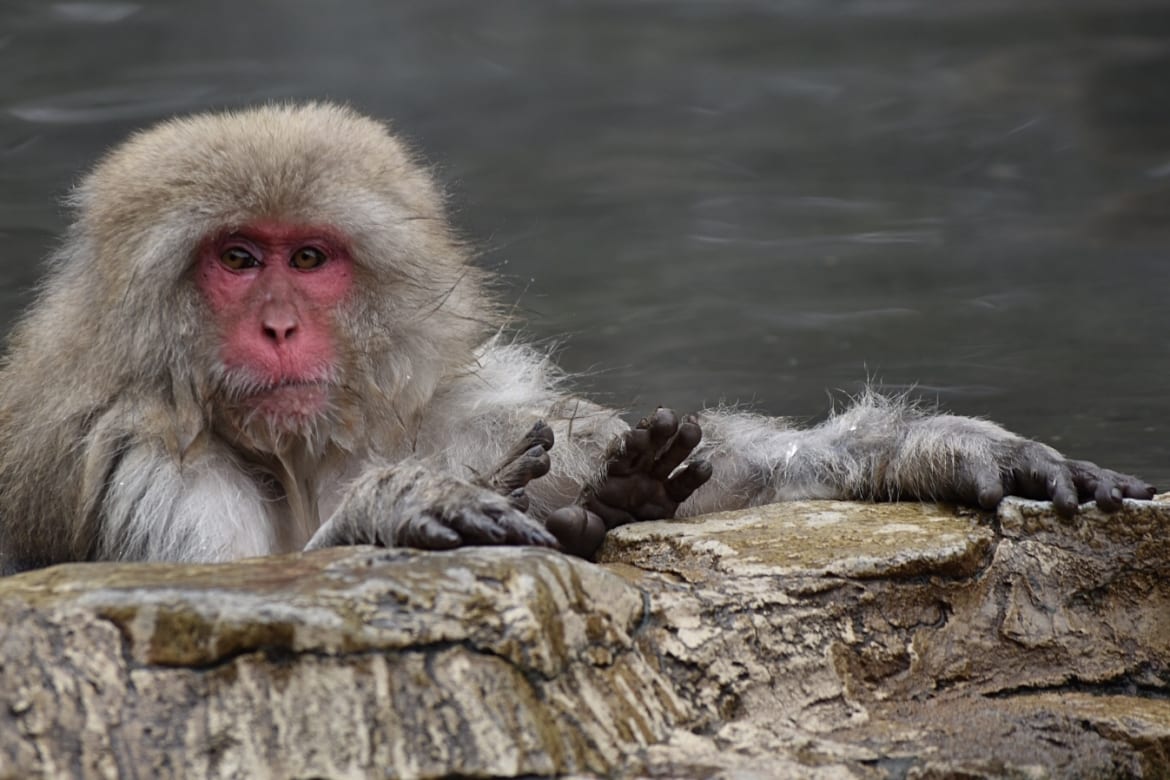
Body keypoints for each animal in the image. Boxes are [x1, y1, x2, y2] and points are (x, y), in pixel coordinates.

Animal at [0, 103, 1155, 574]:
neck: (306, 447)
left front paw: (943, 448)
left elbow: (734, 476)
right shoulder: (148, 464)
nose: (279, 325)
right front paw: (402, 506)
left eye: (309, 258)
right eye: (237, 260)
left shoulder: (464, 409)